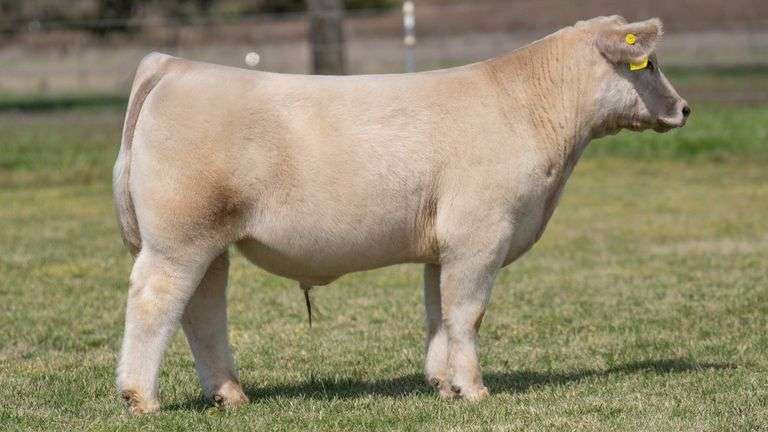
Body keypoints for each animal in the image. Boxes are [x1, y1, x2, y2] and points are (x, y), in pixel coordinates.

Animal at [113, 16, 689, 414]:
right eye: (652, 64)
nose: (684, 109)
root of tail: (176, 65)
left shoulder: (443, 246)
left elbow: (438, 314)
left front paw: (442, 384)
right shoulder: (481, 236)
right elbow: (467, 314)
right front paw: (474, 389)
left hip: (209, 240)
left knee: (202, 308)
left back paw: (230, 394)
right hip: (180, 236)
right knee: (154, 300)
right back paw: (141, 397)